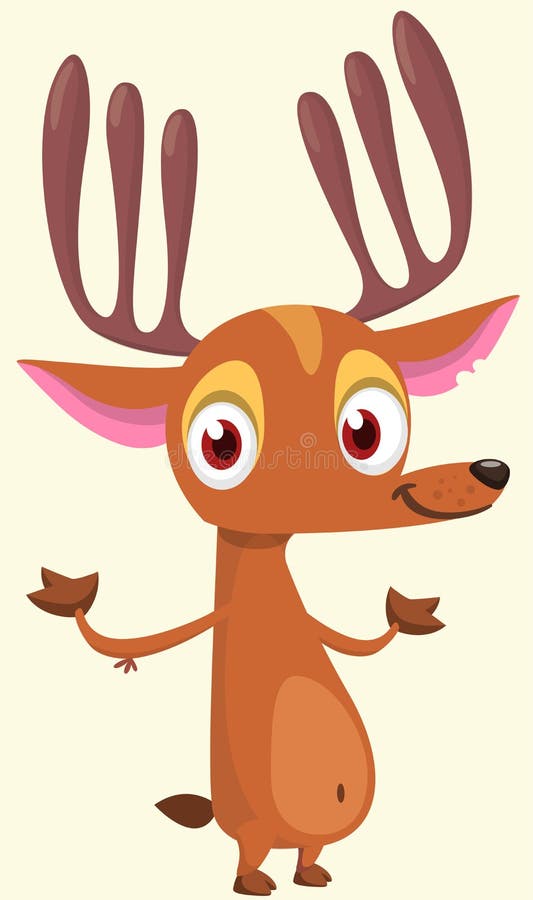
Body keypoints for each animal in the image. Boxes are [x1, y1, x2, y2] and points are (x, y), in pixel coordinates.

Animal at [21, 11, 517, 895]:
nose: (486, 472)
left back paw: (313, 874)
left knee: (310, 850)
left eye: (367, 426)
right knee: (257, 847)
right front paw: (77, 608)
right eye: (220, 443)